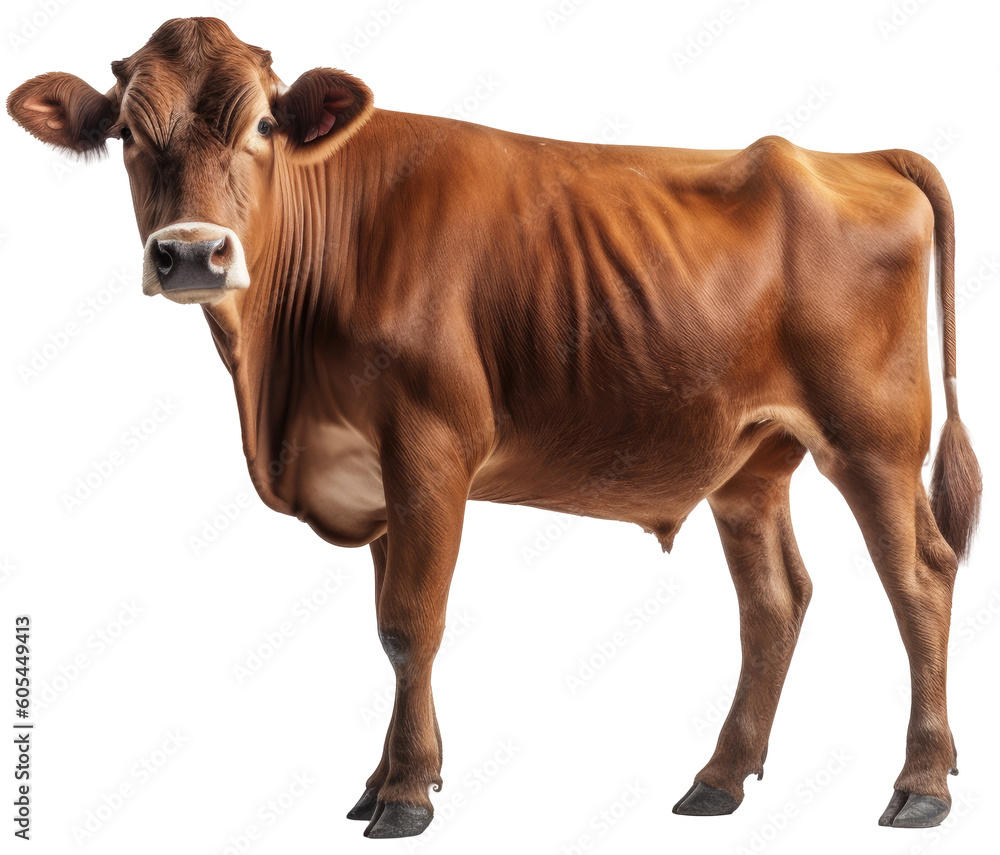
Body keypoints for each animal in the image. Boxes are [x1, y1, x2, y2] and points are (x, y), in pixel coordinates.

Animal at [8, 16, 981, 839]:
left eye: (262, 126)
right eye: (127, 135)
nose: (190, 254)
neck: (277, 384)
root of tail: (856, 156)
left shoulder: (431, 444)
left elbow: (410, 622)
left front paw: (405, 793)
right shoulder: (371, 472)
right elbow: (386, 622)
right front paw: (384, 777)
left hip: (872, 437)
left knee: (920, 575)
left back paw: (920, 784)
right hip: (751, 458)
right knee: (775, 598)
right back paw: (719, 779)